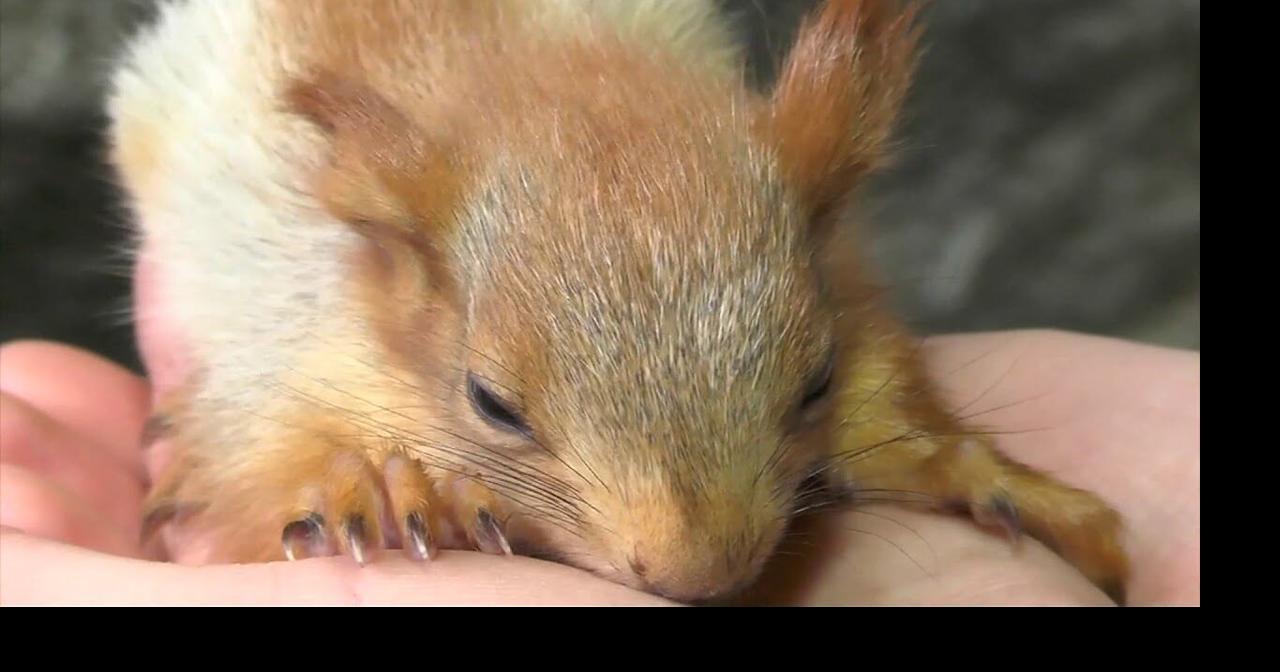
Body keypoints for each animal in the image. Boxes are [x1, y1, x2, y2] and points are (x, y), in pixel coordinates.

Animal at [106, 0, 1130, 603]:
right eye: (491, 403)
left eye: (817, 380)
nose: (699, 574)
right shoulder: (283, 347)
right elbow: (256, 473)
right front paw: (383, 484)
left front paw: (982, 473)